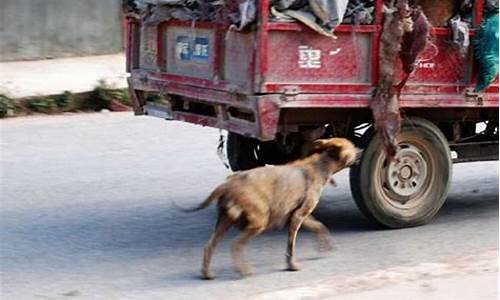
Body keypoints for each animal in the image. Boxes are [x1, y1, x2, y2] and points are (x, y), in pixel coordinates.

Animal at [188, 137, 360, 278]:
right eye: (352, 146)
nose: (362, 150)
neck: (321, 165)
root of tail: (228, 183)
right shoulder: (298, 216)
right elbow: (291, 245)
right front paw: (291, 265)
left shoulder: (301, 215)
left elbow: (319, 226)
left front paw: (326, 246)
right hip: (258, 221)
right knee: (235, 245)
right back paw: (244, 270)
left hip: (224, 221)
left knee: (209, 246)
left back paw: (207, 273)